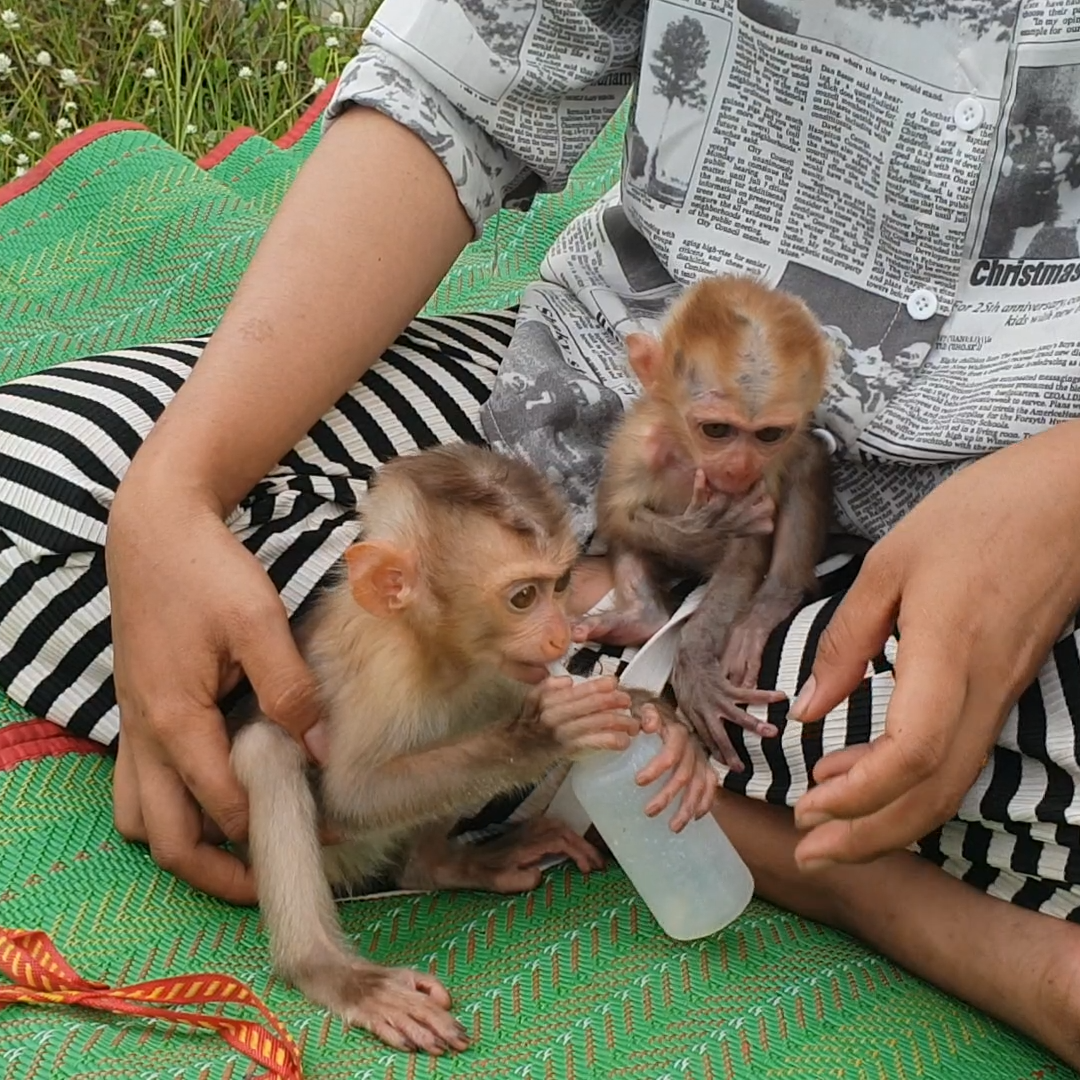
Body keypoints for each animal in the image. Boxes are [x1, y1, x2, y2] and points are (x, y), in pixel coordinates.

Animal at [228, 443, 706, 1056]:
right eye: (523, 597)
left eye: (561, 584)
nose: (561, 634)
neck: (435, 653)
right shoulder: (381, 673)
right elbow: (352, 797)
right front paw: (544, 734)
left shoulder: (500, 669)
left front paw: (650, 712)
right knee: (269, 750)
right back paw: (333, 972)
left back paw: (442, 864)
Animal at [574, 274, 832, 769]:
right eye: (717, 430)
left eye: (768, 434)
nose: (738, 466)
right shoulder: (638, 444)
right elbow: (614, 515)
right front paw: (703, 529)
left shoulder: (765, 471)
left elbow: (742, 561)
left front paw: (694, 660)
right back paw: (642, 617)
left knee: (806, 460)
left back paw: (769, 604)